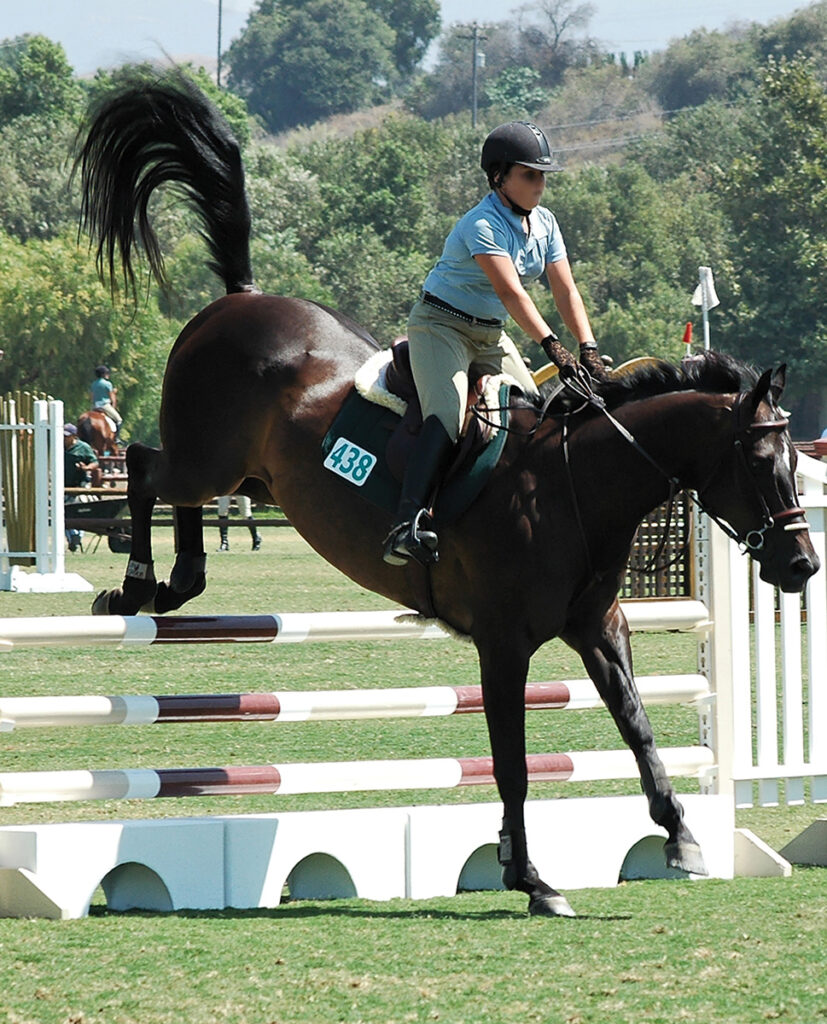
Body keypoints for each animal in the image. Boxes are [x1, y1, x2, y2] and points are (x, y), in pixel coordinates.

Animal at [75, 73, 819, 917]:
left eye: (794, 459)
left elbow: (637, 726)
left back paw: (173, 586)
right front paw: (532, 880)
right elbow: (513, 763)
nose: (800, 566)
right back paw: (133, 588)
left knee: (184, 507)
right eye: (758, 461)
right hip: (206, 459)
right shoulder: (502, 643)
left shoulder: (598, 626)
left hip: (244, 476)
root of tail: (241, 298)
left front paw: (681, 837)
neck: (574, 486)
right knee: (143, 467)